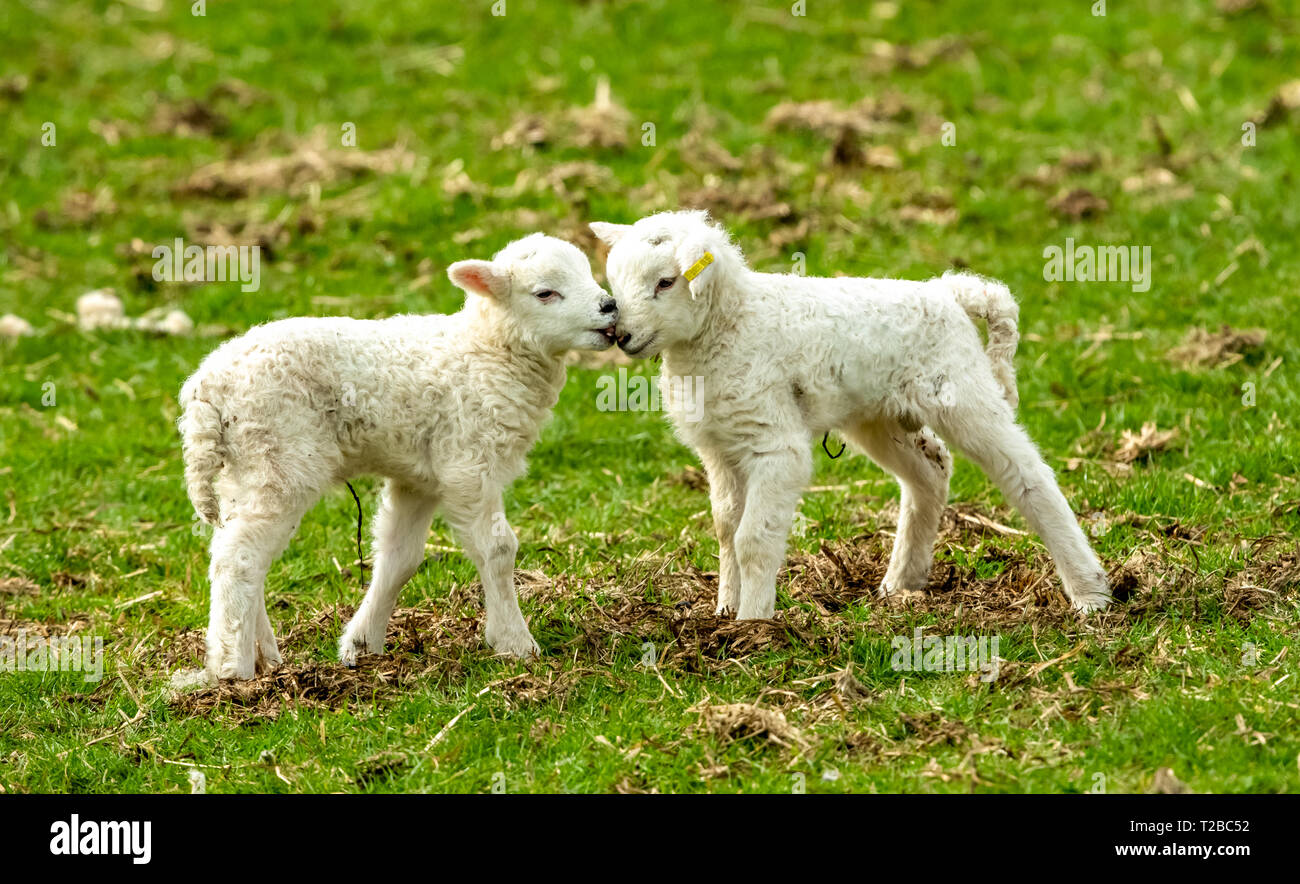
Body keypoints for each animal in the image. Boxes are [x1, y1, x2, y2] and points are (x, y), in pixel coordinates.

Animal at [177, 234, 619, 681]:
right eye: (545, 293)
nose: (610, 306)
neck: (486, 351)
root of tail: (205, 388)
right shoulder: (469, 461)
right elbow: (497, 549)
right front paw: (514, 643)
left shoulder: (420, 476)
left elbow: (399, 557)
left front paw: (362, 643)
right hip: (278, 458)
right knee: (240, 558)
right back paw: (235, 670)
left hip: (244, 465)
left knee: (232, 546)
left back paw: (262, 654)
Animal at [591, 210, 1110, 619]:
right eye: (615, 286)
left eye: (665, 282)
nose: (622, 336)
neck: (730, 325)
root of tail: (948, 293)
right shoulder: (720, 448)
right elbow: (725, 531)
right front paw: (723, 610)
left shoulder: (775, 445)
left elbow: (752, 540)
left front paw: (751, 625)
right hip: (878, 416)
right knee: (931, 471)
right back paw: (902, 583)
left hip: (961, 392)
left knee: (1028, 475)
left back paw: (1090, 592)